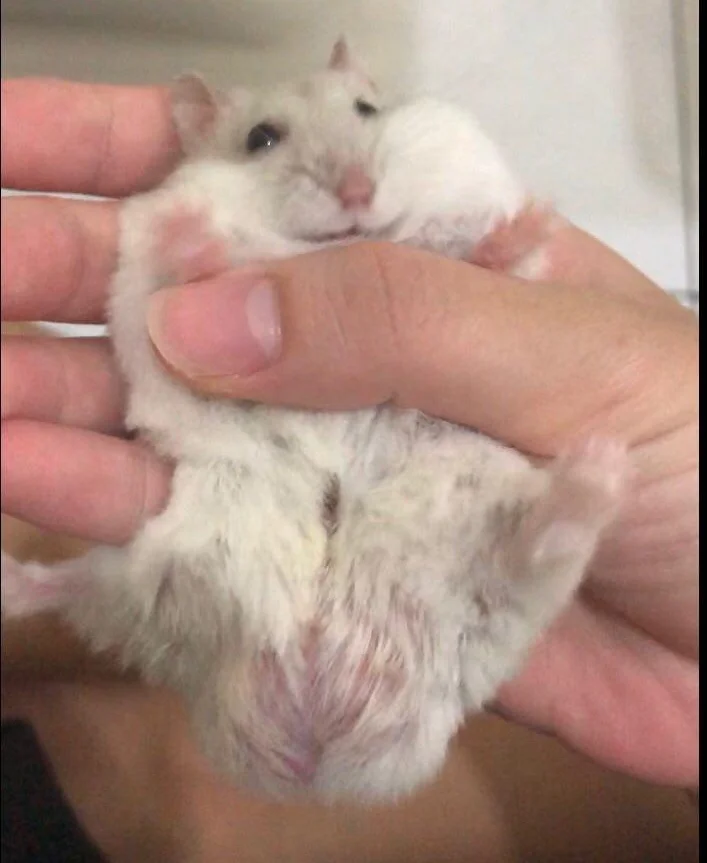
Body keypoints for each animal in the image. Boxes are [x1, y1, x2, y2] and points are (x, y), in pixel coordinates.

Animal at [1, 39, 626, 804]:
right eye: (260, 139)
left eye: (368, 109)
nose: (358, 190)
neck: (327, 247)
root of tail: (316, 761)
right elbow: (188, 269)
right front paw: (190, 232)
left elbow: (482, 262)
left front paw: (526, 225)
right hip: (160, 574)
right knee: (84, 591)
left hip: (490, 572)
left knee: (538, 551)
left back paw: (596, 470)